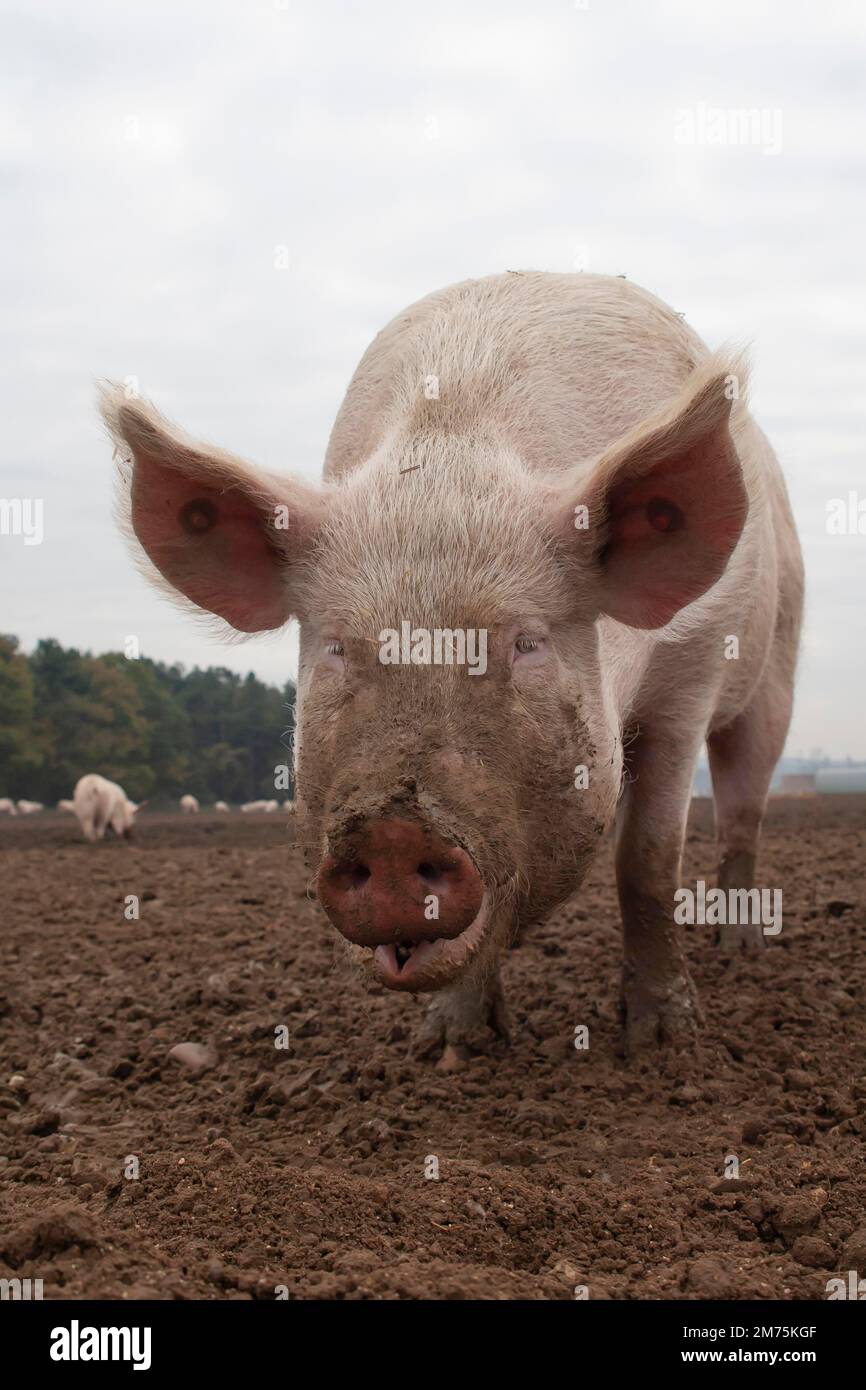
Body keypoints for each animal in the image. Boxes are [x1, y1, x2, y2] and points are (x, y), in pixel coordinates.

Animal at [101, 271, 803, 1068]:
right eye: (337, 646)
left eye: (527, 642)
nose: (393, 833)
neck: (452, 445)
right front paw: (449, 1046)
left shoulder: (693, 669)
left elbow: (648, 861)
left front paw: (665, 1044)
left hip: (775, 674)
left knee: (745, 809)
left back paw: (740, 949)